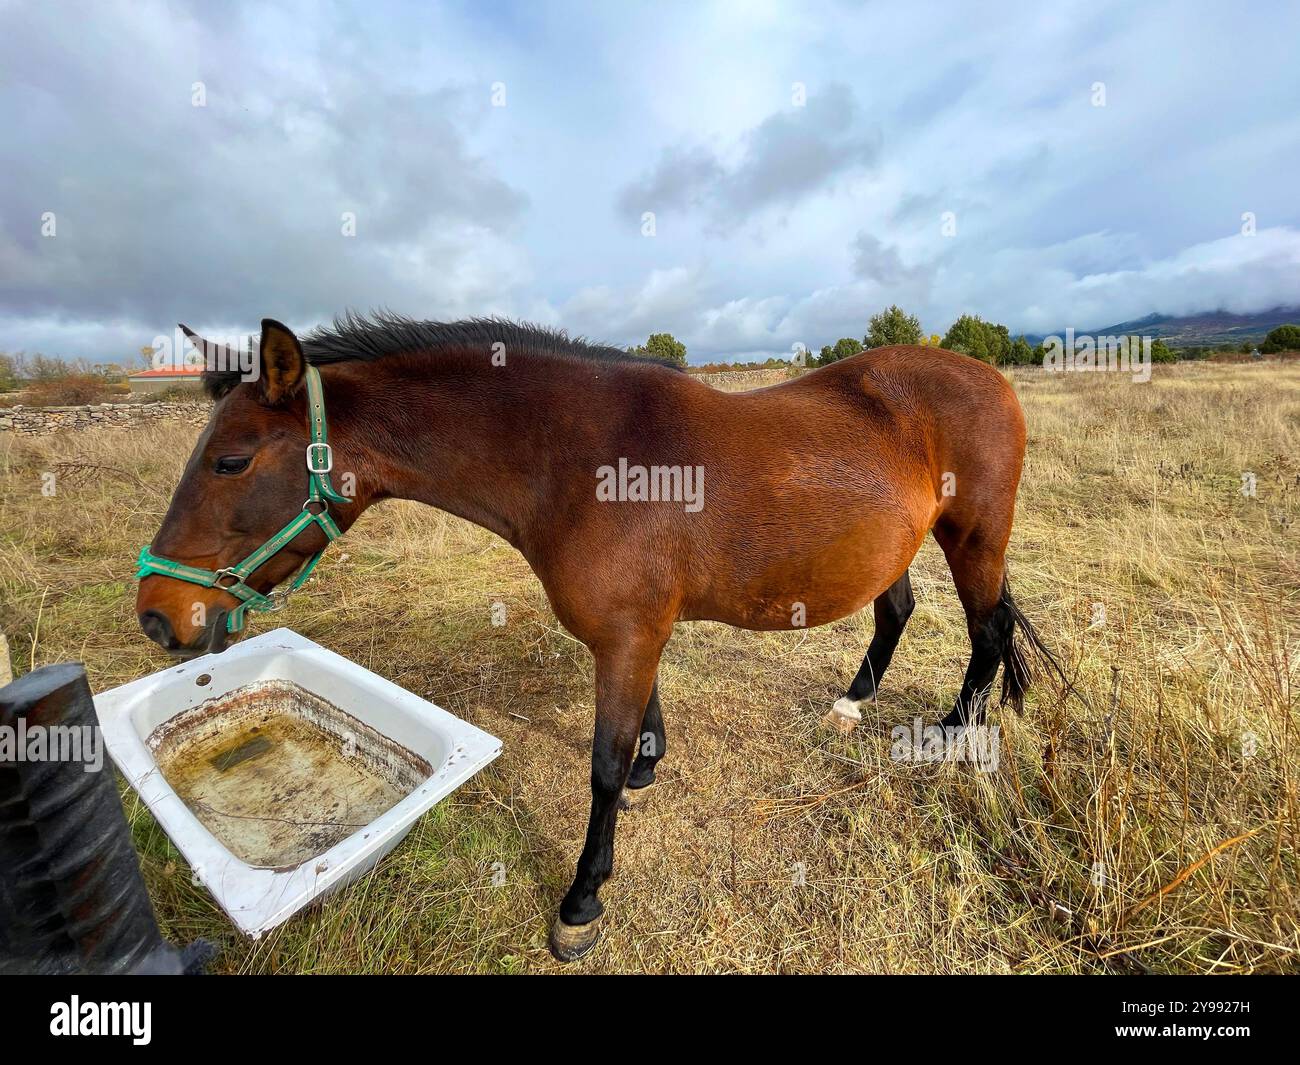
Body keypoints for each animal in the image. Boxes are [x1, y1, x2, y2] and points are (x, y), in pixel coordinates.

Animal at [137, 313, 1068, 961]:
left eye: (232, 460)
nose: (156, 613)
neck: (584, 458)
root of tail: (990, 375)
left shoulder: (626, 637)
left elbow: (603, 765)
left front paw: (583, 899)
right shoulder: (637, 635)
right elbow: (639, 732)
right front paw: (654, 767)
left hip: (974, 540)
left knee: (986, 633)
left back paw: (953, 731)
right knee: (896, 611)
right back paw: (853, 701)